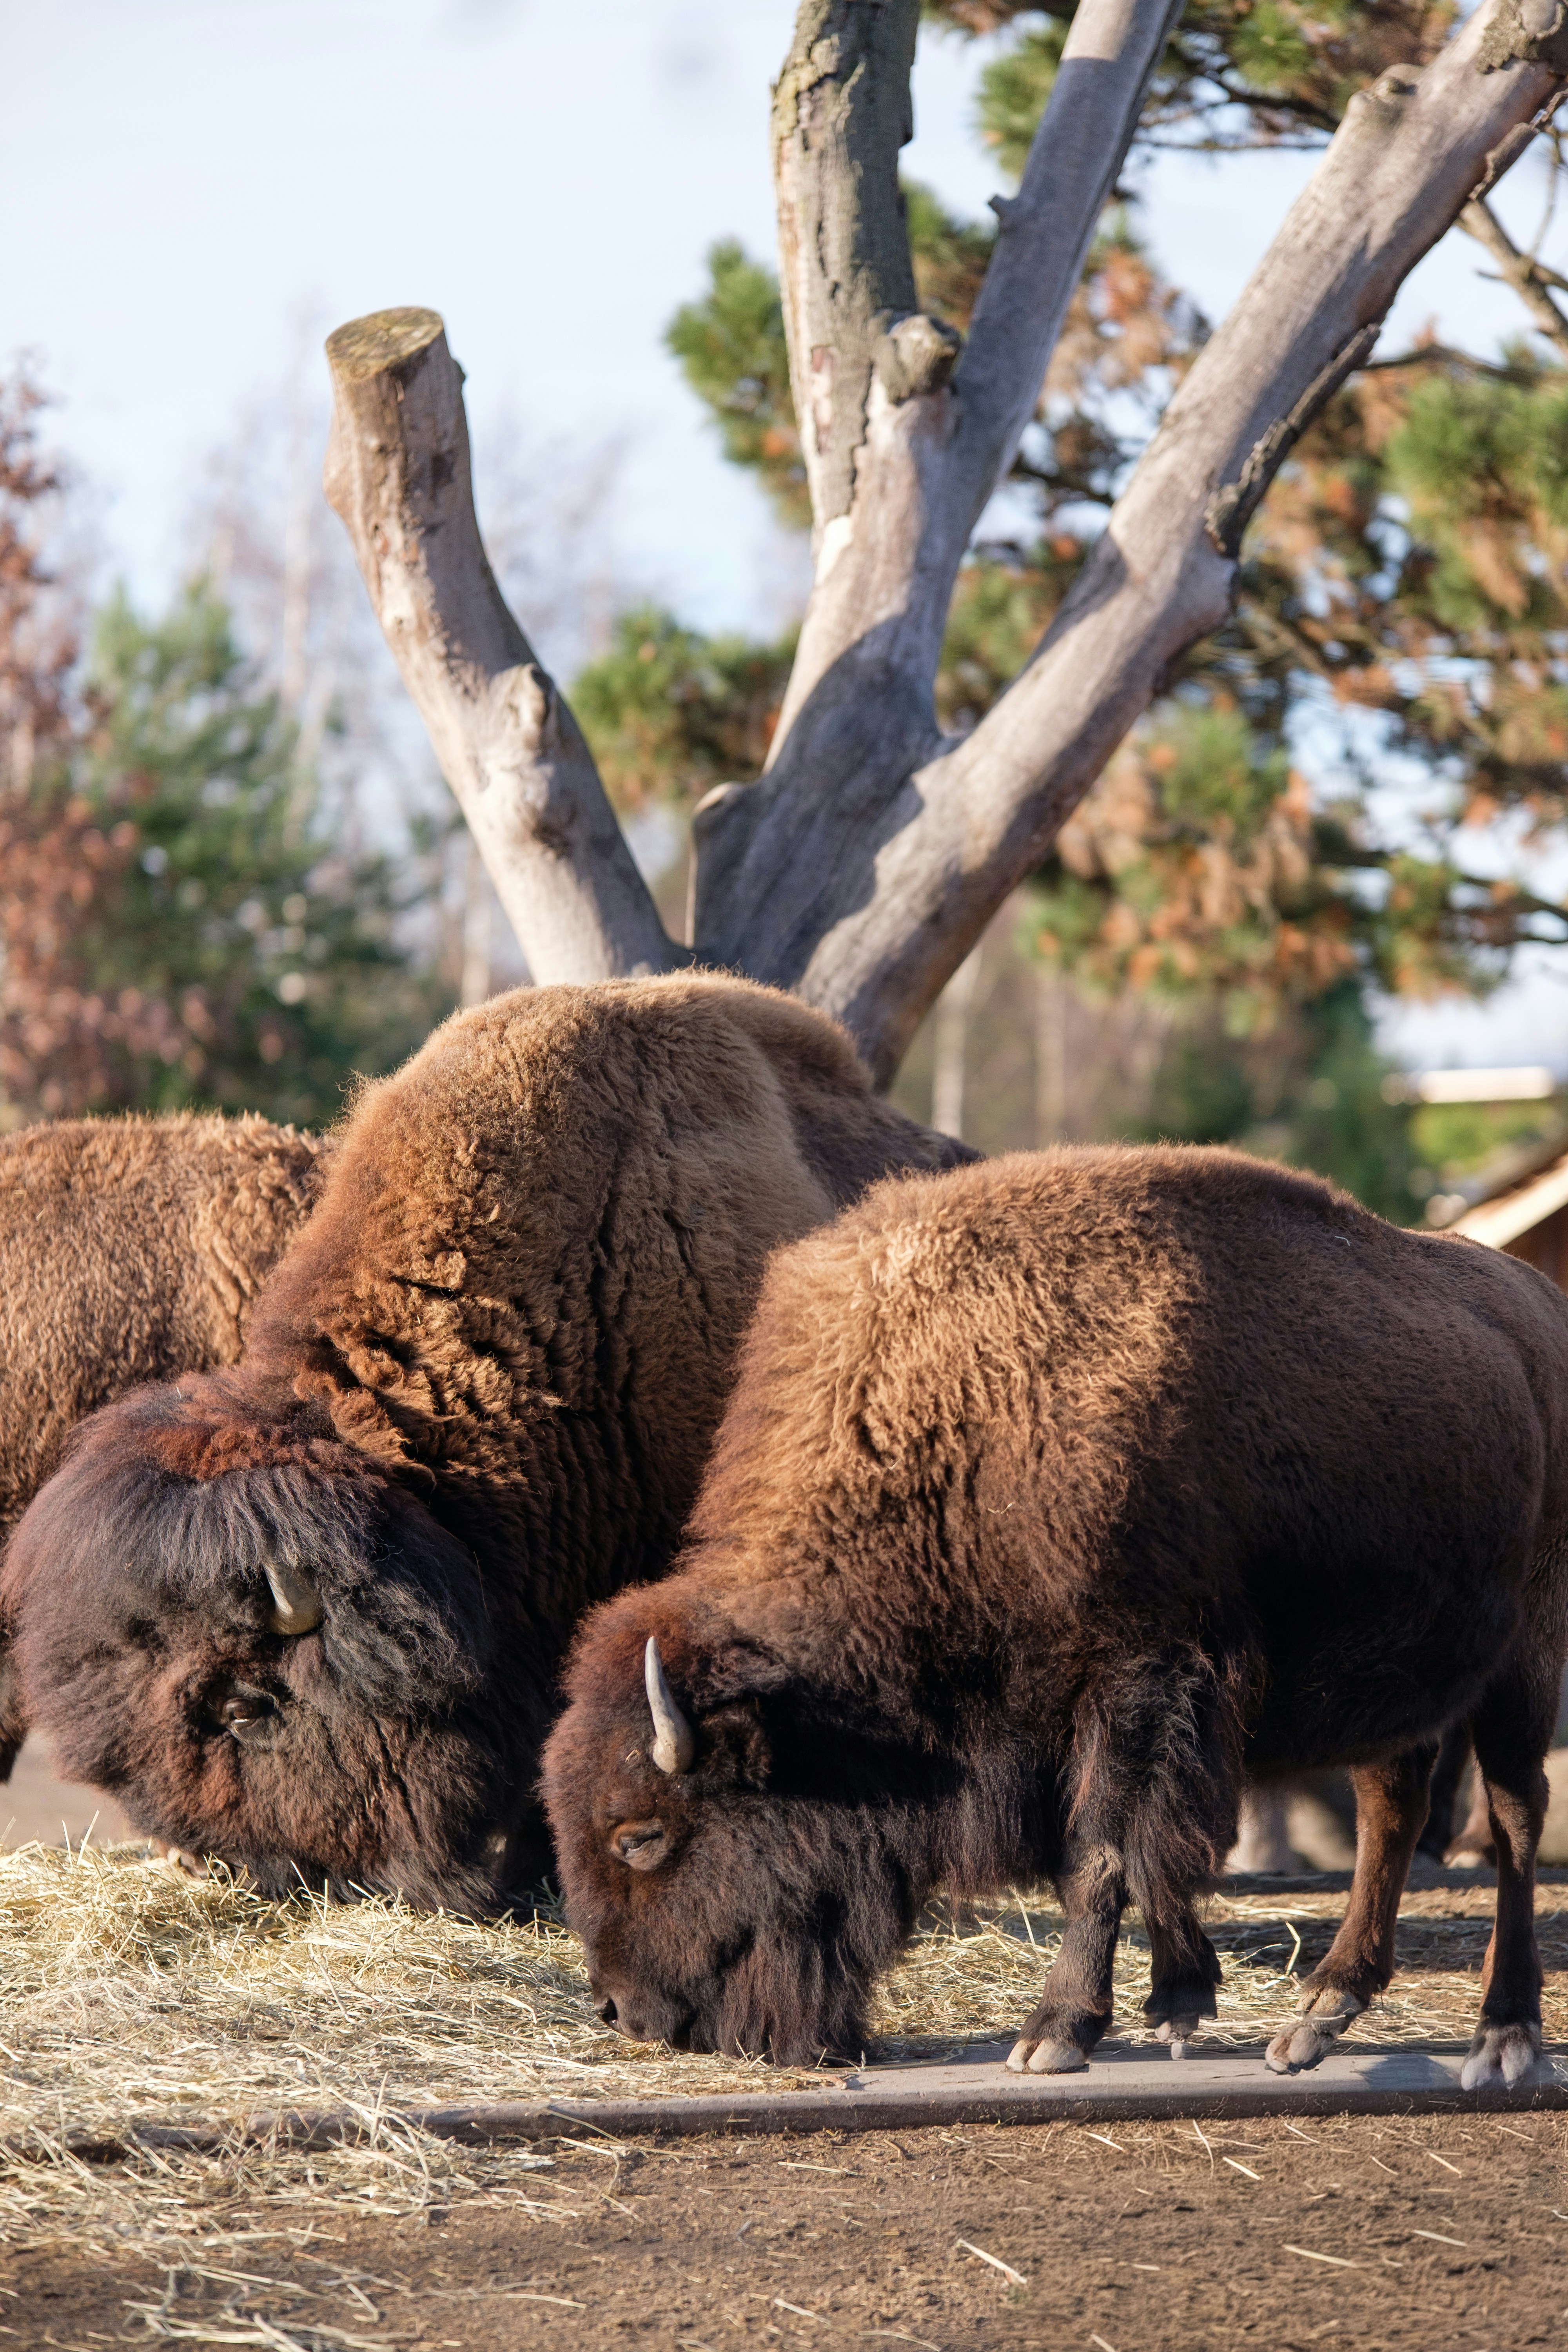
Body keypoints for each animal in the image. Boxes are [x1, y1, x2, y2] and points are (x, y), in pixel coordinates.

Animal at [543, 1145, 1568, 2090]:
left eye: (640, 1834)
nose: (622, 2011)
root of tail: (1538, 1308)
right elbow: (1153, 1851)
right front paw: (1178, 2004)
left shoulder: (1133, 1679)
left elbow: (1102, 1852)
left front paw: (1056, 2032)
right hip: (1400, 1678)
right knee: (1391, 1805)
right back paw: (1320, 2010)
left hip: (1523, 1657)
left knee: (1513, 1816)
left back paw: (1503, 2037)